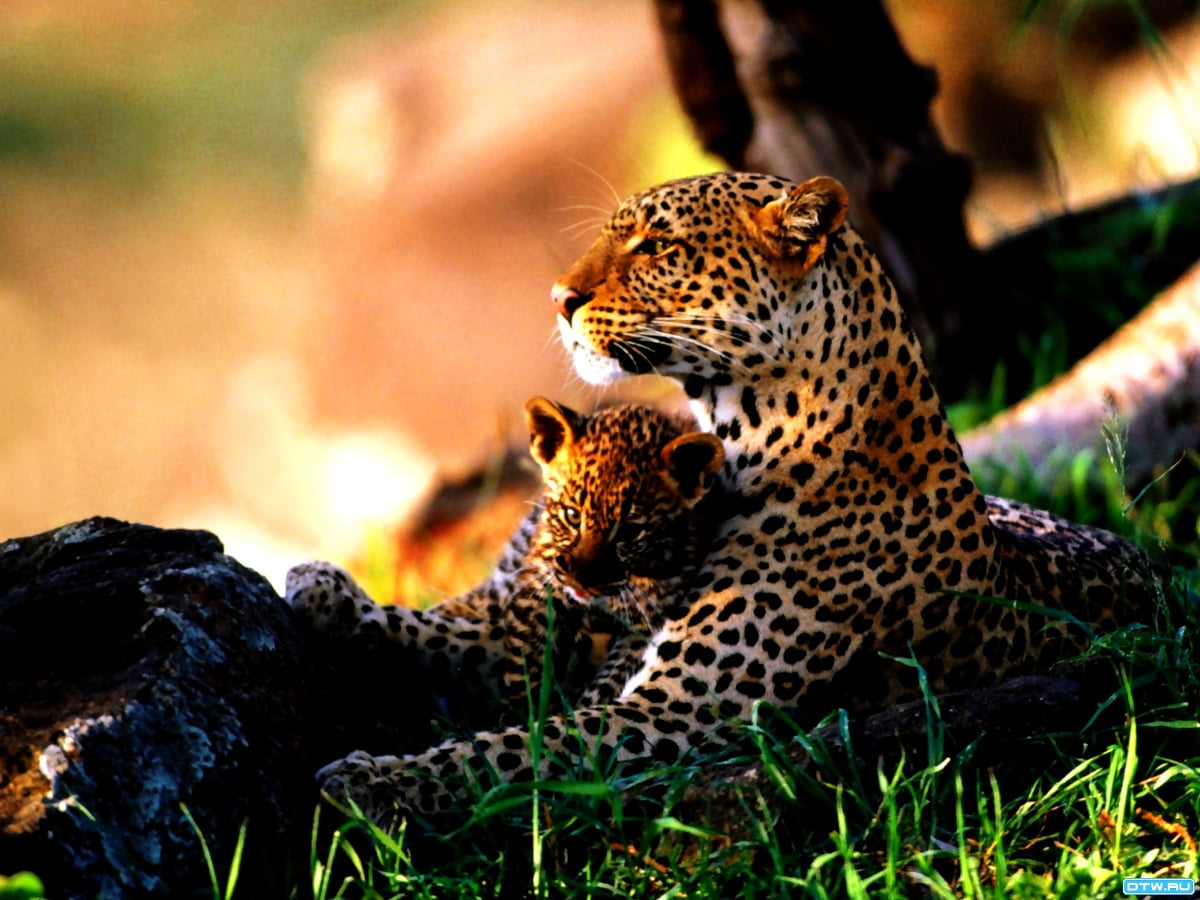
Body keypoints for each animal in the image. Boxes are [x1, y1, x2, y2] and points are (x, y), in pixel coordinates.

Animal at [288, 396, 724, 719]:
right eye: (572, 515)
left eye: (631, 532)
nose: (580, 581)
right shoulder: (511, 594)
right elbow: (440, 625)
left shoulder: (634, 625)